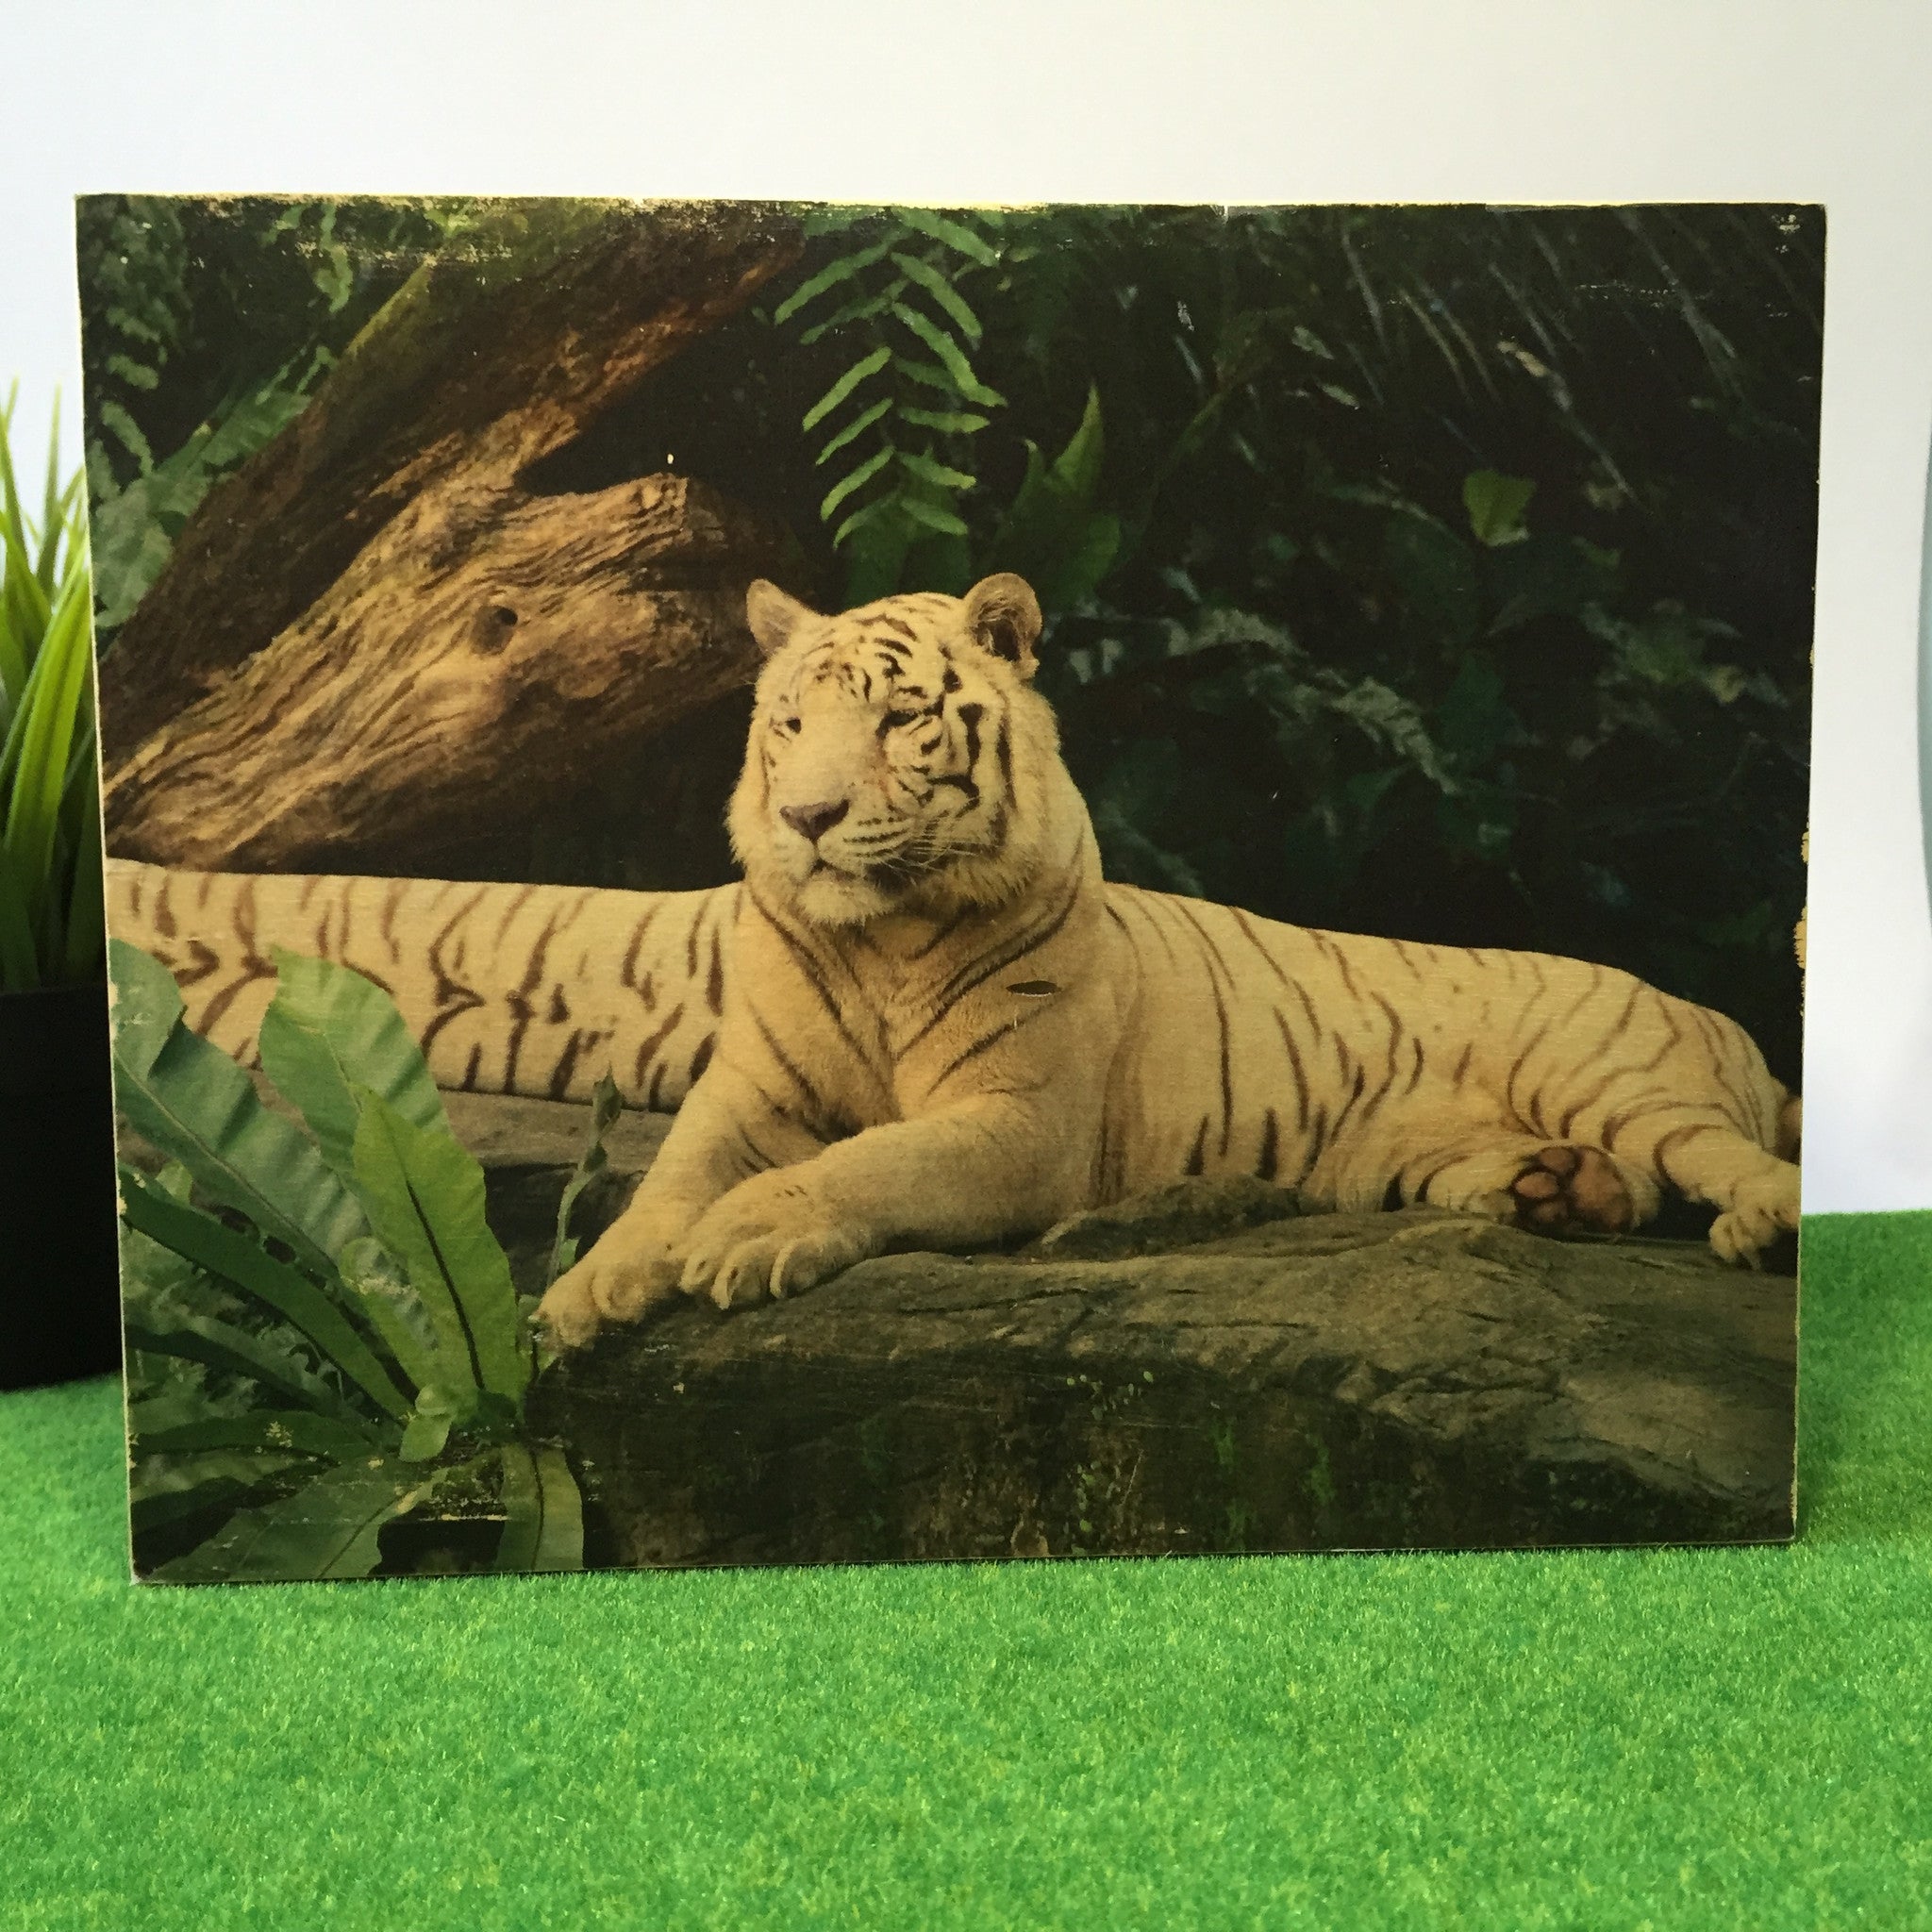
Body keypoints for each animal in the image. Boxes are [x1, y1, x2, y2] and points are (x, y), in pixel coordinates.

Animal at [106, 570, 1803, 1348]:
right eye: (788, 720)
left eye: (901, 719)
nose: (803, 818)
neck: (877, 937)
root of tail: (1714, 1015)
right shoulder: (745, 1085)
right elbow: (667, 1182)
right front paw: (594, 1288)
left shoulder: (1016, 1126)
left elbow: (861, 1168)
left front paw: (742, 1246)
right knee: (1599, 1177)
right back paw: (1556, 1196)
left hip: (1616, 1067)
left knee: (1723, 1156)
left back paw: (1759, 1225)